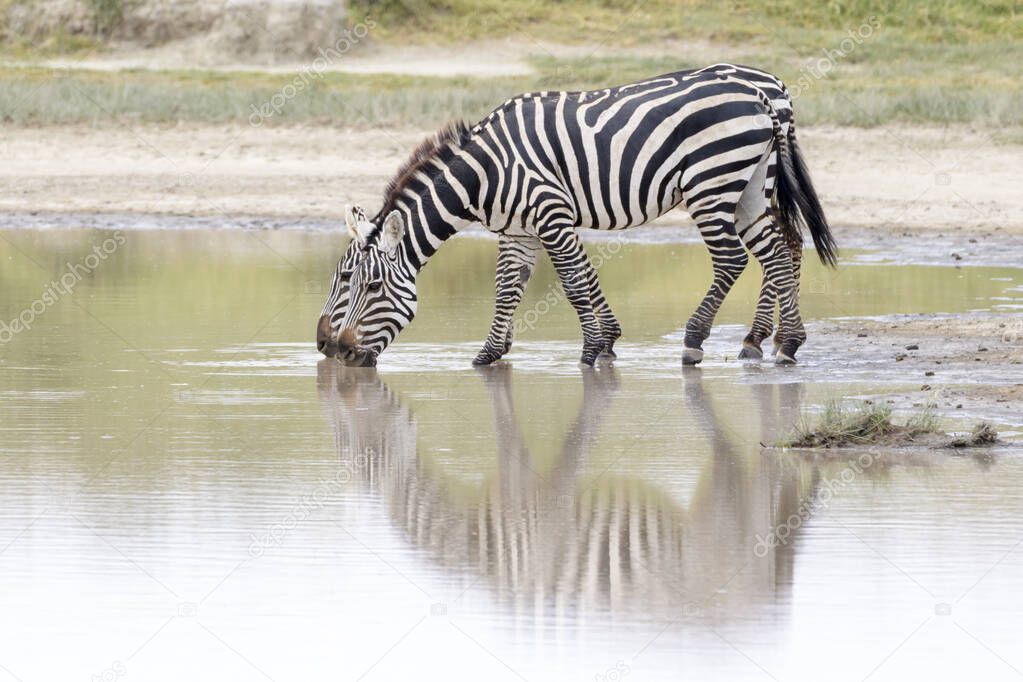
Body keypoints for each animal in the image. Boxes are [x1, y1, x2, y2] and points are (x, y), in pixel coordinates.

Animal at [316, 64, 836, 367]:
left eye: (370, 287)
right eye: (341, 279)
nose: (335, 350)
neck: (486, 172)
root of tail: (762, 93)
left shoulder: (551, 215)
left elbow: (572, 283)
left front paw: (591, 348)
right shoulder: (520, 230)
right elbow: (511, 288)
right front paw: (491, 353)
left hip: (711, 184)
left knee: (735, 259)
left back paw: (698, 339)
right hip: (748, 188)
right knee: (779, 252)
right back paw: (783, 342)